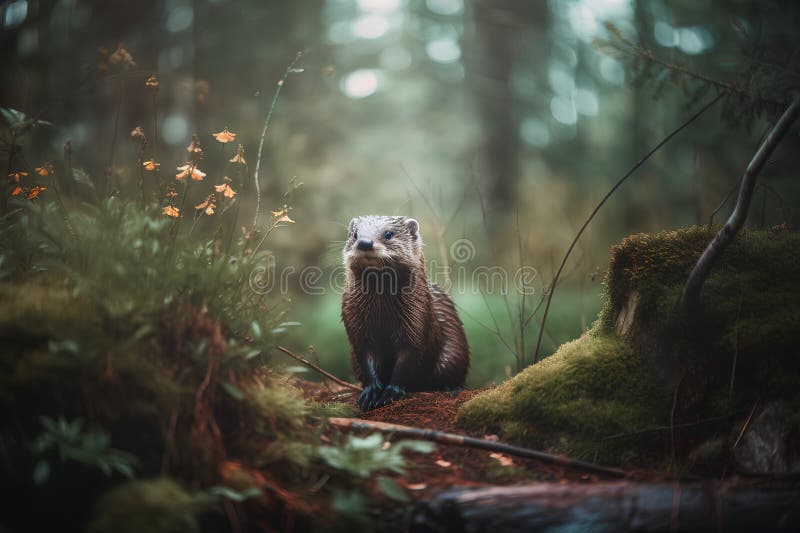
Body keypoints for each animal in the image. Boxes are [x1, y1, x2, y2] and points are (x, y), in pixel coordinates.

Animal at [341, 215, 470, 410]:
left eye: (388, 234)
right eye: (355, 234)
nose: (364, 242)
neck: (383, 314)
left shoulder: (417, 321)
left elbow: (407, 359)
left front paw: (390, 392)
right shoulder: (355, 324)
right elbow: (366, 357)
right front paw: (372, 392)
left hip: (455, 352)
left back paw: (450, 387)